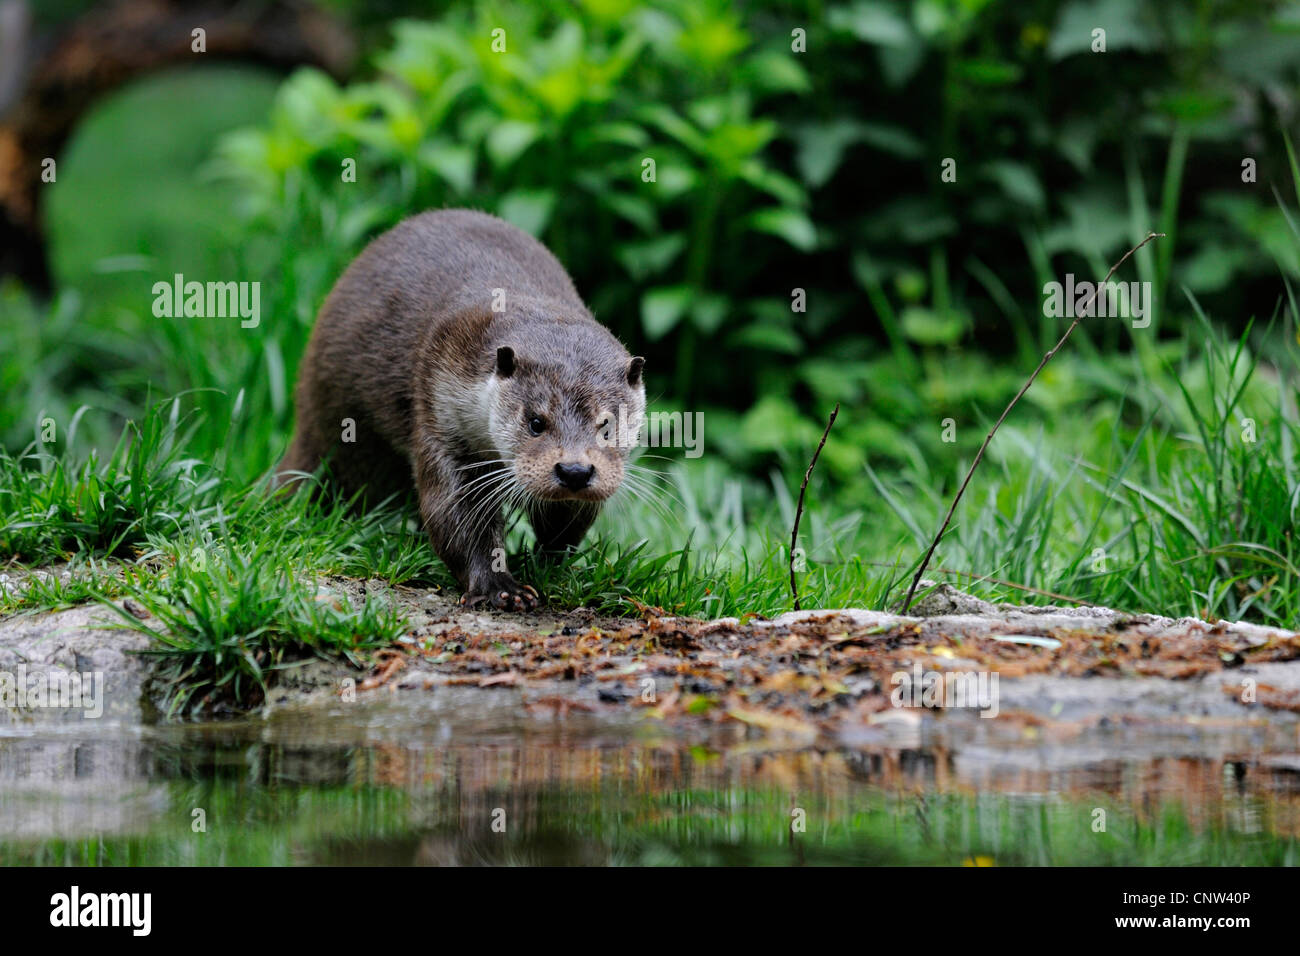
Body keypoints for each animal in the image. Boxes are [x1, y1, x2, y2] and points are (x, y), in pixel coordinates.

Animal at [276, 209, 646, 611]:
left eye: (606, 425)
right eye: (535, 422)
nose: (575, 470)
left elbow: (567, 522)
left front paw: (550, 566)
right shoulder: (440, 408)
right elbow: (458, 515)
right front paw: (500, 587)